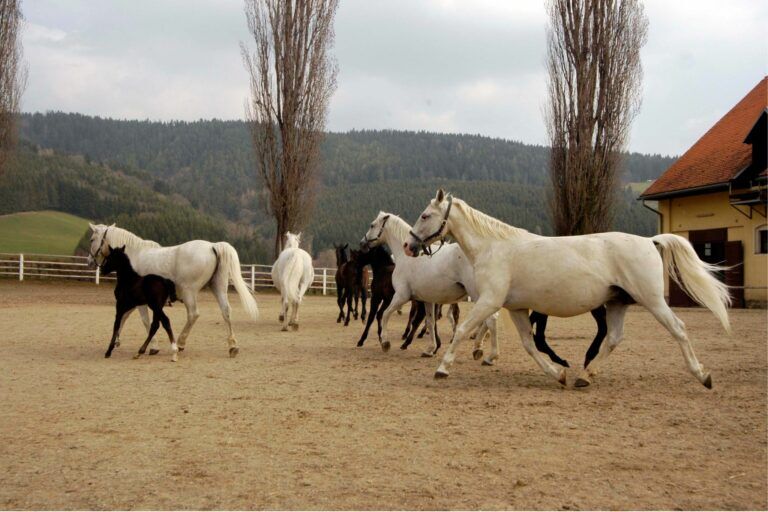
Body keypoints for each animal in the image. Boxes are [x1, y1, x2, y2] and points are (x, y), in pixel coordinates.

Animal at [87, 223, 259, 361]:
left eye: (92, 239)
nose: (90, 262)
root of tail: (213, 246)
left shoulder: (140, 303)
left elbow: (144, 321)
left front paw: (152, 347)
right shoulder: (133, 302)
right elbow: (124, 318)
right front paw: (116, 342)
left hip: (189, 292)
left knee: (193, 314)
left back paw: (181, 343)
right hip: (218, 287)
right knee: (226, 312)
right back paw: (232, 346)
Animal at [405, 189, 731, 388]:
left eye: (424, 215)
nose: (409, 245)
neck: (495, 247)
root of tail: (650, 240)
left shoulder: (489, 301)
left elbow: (461, 331)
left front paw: (442, 368)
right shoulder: (517, 308)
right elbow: (530, 345)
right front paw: (558, 373)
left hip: (651, 300)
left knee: (678, 329)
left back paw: (703, 375)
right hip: (617, 303)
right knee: (613, 338)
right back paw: (585, 376)